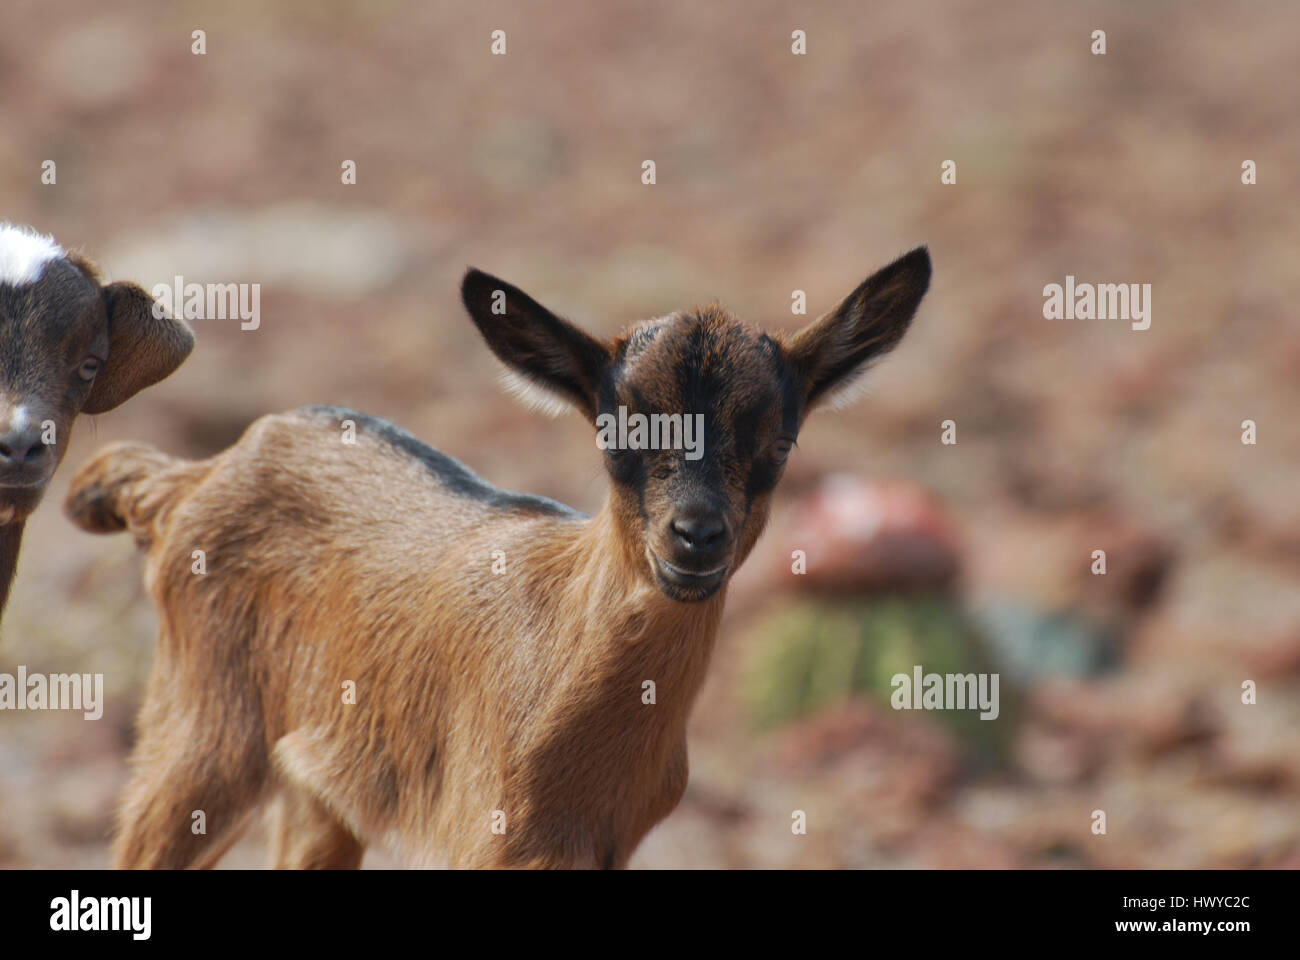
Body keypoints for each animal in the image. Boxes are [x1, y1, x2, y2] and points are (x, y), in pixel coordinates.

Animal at [65, 248, 931, 869]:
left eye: (780, 444)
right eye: (616, 433)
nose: (695, 538)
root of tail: (194, 476)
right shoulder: (486, 839)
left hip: (320, 789)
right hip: (199, 731)